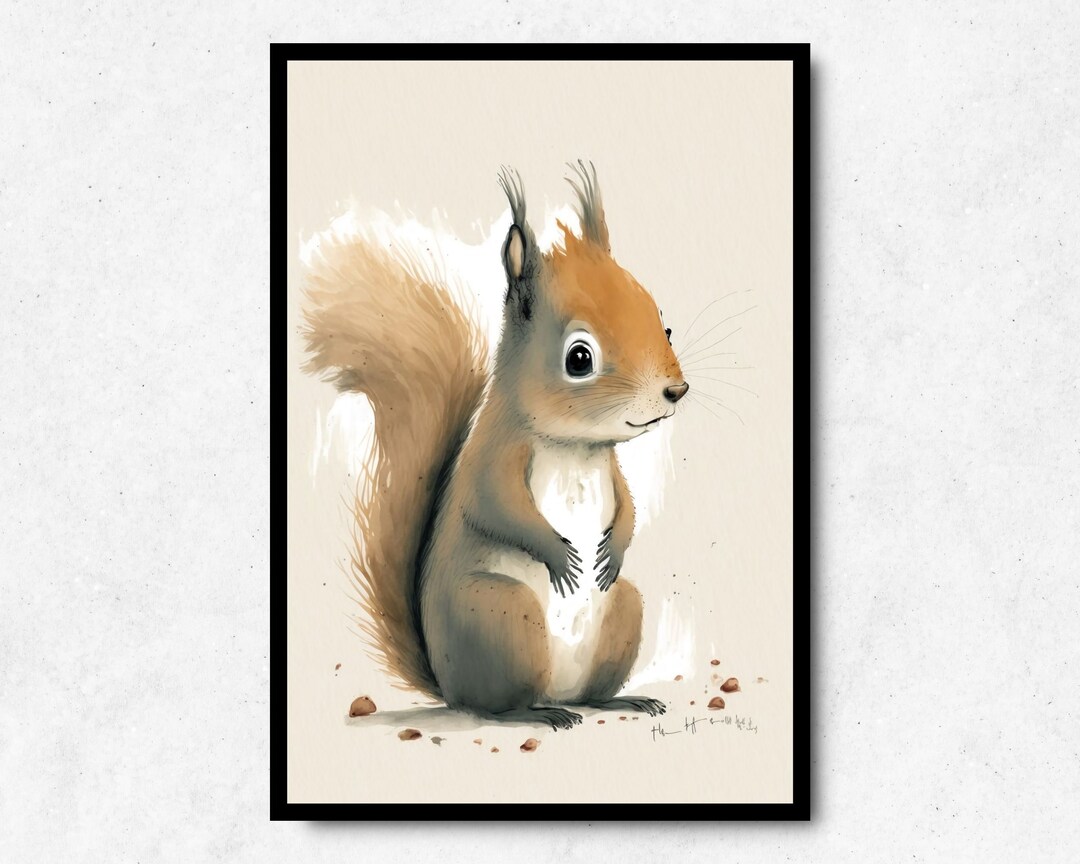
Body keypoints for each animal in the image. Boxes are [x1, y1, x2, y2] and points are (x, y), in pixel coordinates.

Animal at [301, 163, 689, 730]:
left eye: (664, 323)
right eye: (579, 358)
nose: (675, 391)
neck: (576, 447)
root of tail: (448, 685)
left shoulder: (612, 470)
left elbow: (629, 506)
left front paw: (612, 549)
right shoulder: (496, 458)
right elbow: (496, 507)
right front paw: (560, 555)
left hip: (624, 608)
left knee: (591, 690)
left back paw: (619, 700)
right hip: (502, 614)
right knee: (499, 706)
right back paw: (535, 715)